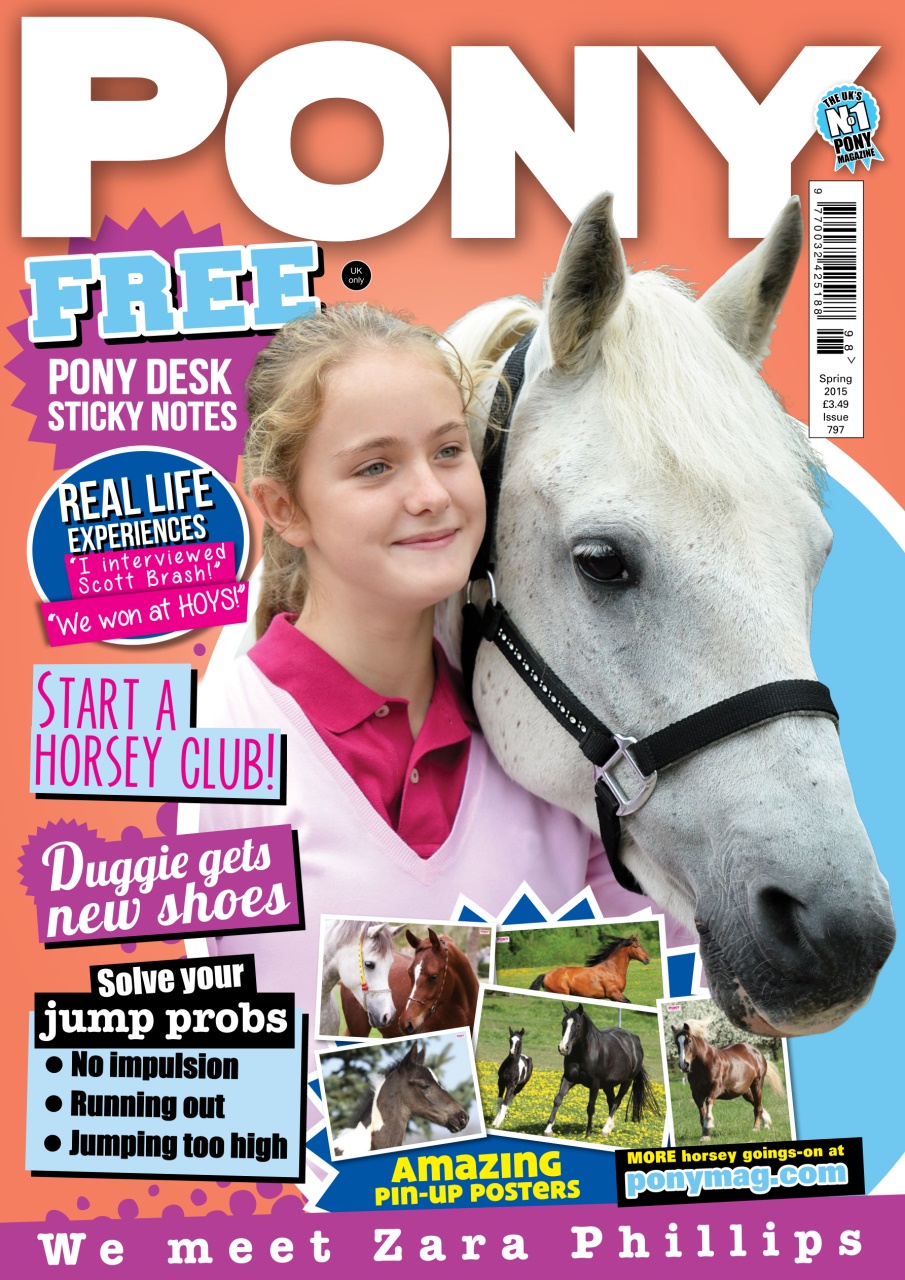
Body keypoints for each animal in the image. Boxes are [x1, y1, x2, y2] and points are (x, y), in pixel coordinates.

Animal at [543, 1002, 659, 1140]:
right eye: (563, 1023)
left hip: (627, 1082)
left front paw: (588, 1132)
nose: (563, 1048)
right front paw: (548, 1129)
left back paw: (605, 1130)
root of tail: (635, 1039)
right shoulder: (568, 1078)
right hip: (608, 1085)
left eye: (577, 1025)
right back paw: (610, 1127)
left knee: (616, 1102)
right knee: (611, 1101)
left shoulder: (595, 1084)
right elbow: (558, 1099)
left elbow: (590, 1107)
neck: (583, 1053)